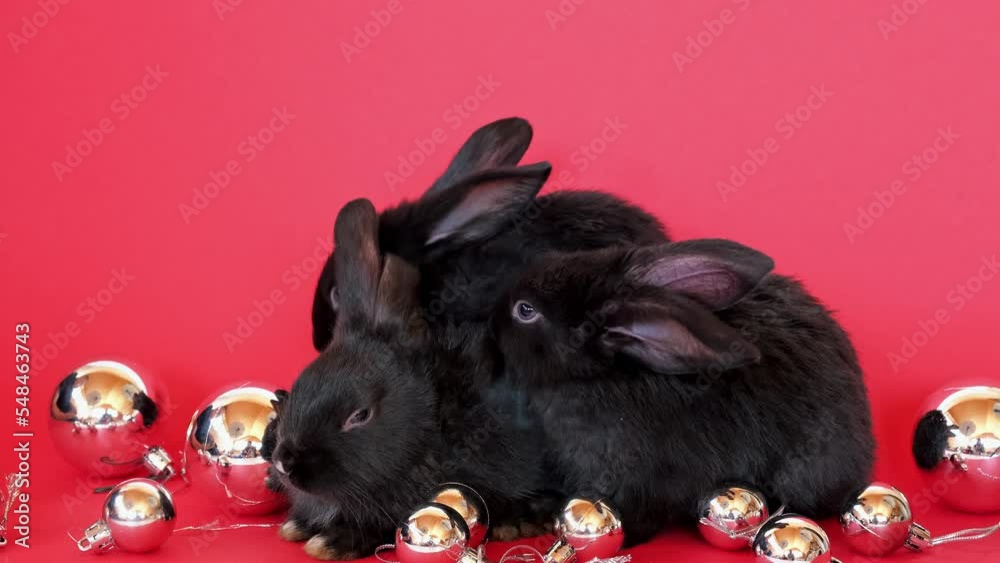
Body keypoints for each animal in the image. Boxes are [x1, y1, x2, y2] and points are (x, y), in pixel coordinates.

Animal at [271, 199, 556, 560]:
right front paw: (297, 526)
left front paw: (330, 543)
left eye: (359, 415)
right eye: (297, 388)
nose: (285, 463)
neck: (427, 426)